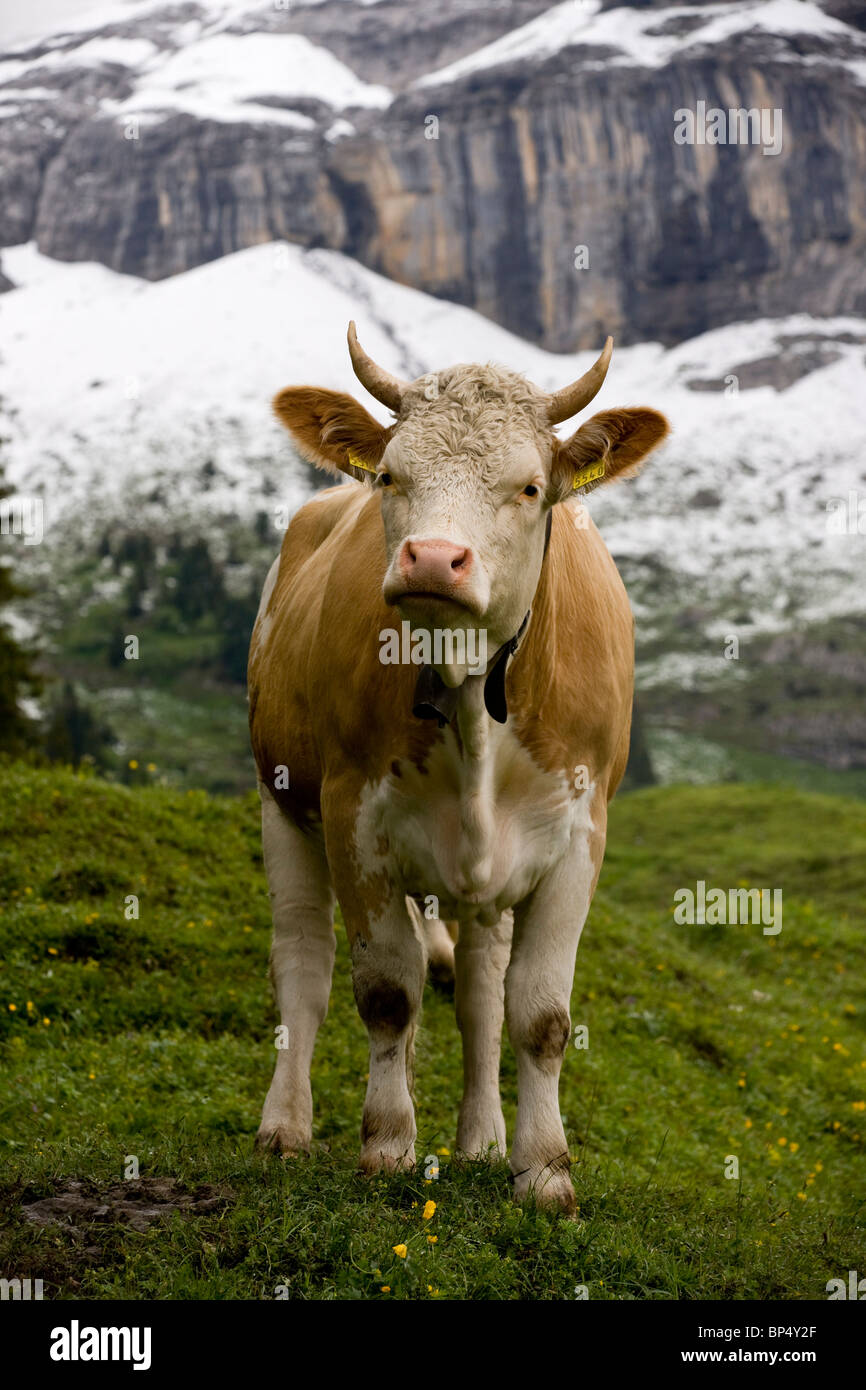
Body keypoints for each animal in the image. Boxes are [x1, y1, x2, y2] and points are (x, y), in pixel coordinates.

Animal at [247, 324, 669, 1212]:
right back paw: (285, 1128)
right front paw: (387, 1145)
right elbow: (386, 992)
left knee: (478, 991)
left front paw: (542, 1171)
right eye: (392, 475)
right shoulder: (352, 816)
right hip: (283, 804)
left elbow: (537, 1015)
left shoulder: (578, 836)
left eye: (530, 487)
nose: (434, 560)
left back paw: (481, 1140)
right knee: (303, 966)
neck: (471, 684)